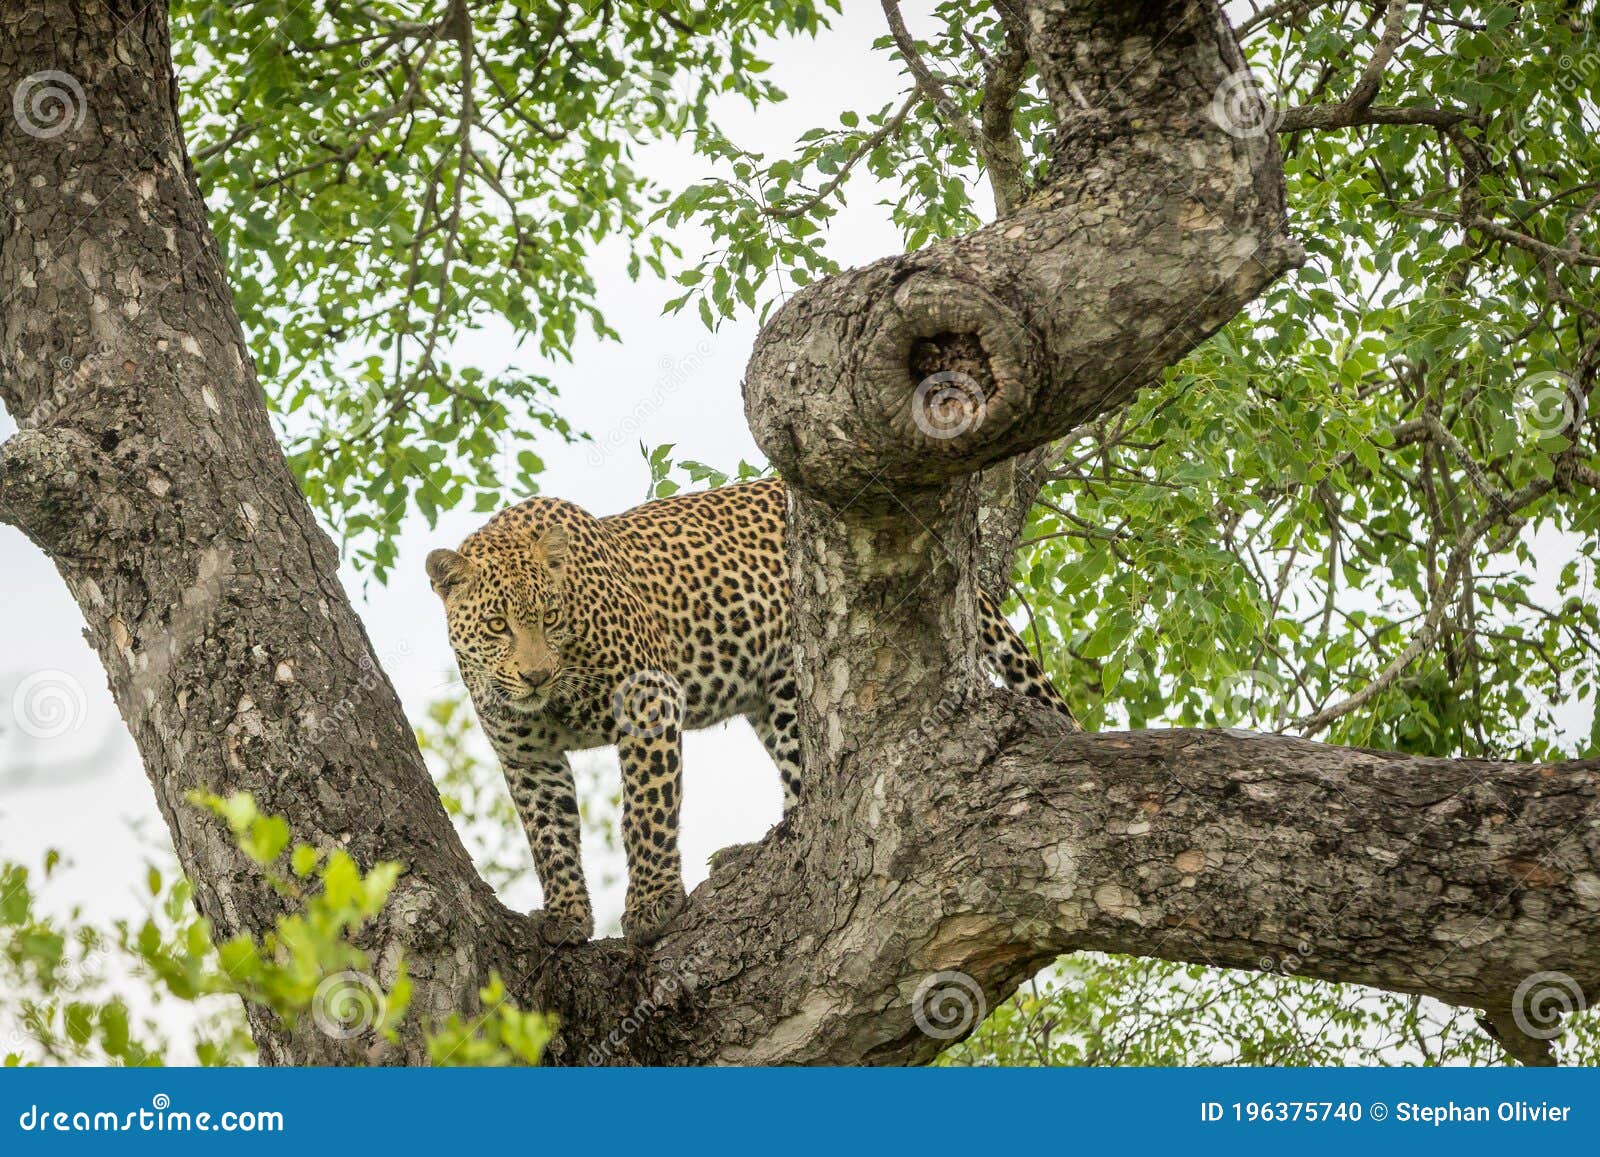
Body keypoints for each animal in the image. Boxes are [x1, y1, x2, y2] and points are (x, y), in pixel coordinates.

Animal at [426, 476, 1077, 945]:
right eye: (497, 625)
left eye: (552, 617)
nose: (536, 675)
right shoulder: (528, 756)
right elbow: (549, 835)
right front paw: (565, 917)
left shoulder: (648, 700)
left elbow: (645, 813)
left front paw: (653, 906)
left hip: (795, 682)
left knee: (811, 781)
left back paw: (771, 844)